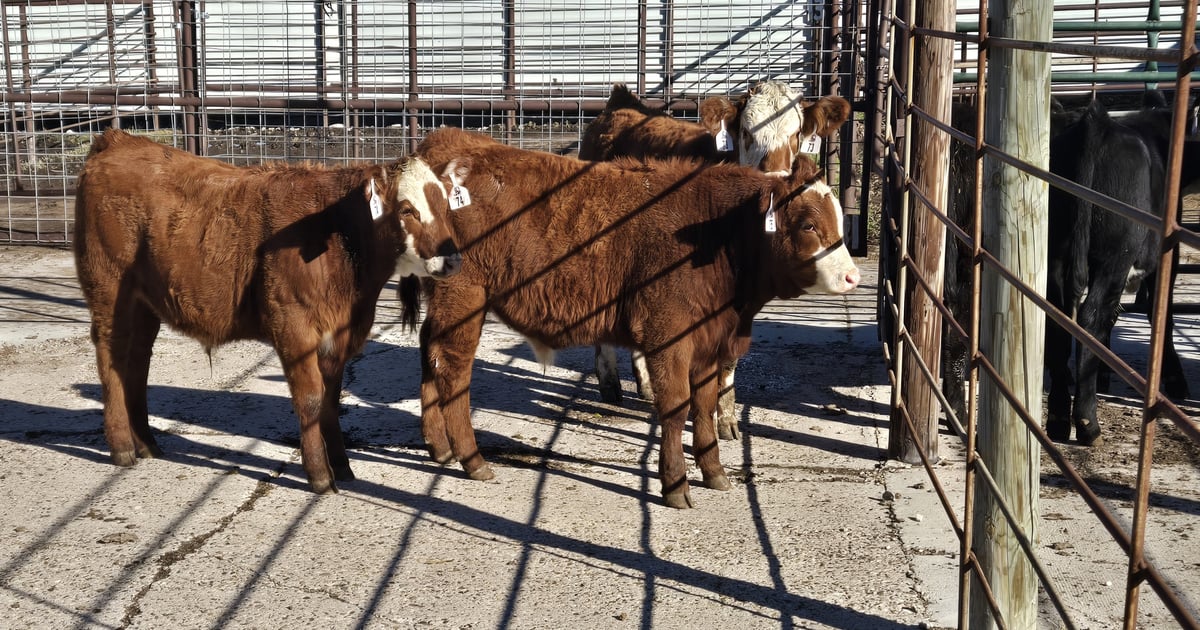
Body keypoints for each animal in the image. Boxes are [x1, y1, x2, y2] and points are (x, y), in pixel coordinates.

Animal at [73, 128, 462, 494]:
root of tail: (118, 140)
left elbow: (331, 399)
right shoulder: (294, 328)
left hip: (144, 305)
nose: (452, 258)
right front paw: (319, 474)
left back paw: (147, 443)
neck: (337, 236)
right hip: (109, 292)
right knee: (111, 361)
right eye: (408, 210)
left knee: (136, 364)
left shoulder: (337, 334)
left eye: (446, 206)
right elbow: (311, 400)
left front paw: (342, 466)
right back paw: (122, 447)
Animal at [403, 127, 860, 508]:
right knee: (453, 369)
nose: (852, 276)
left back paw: (438, 446)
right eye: (807, 225)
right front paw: (675, 484)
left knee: (428, 352)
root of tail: (449, 141)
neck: (716, 234)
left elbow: (704, 406)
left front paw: (714, 472)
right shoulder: (668, 335)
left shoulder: (711, 341)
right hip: (463, 296)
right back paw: (471, 458)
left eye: (837, 218)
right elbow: (675, 406)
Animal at [580, 81, 852, 442]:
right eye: (747, 133)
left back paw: (646, 385)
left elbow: (728, 359)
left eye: (796, 134)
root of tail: (621, 103)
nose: (777, 174)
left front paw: (725, 419)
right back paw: (609, 382)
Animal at [1045, 99, 1199, 444]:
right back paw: (1087, 423)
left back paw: (1059, 420)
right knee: (1090, 316)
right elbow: (1160, 313)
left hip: (1056, 253)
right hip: (1114, 255)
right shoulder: (1165, 257)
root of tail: (1097, 123)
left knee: (1060, 318)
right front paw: (1176, 379)